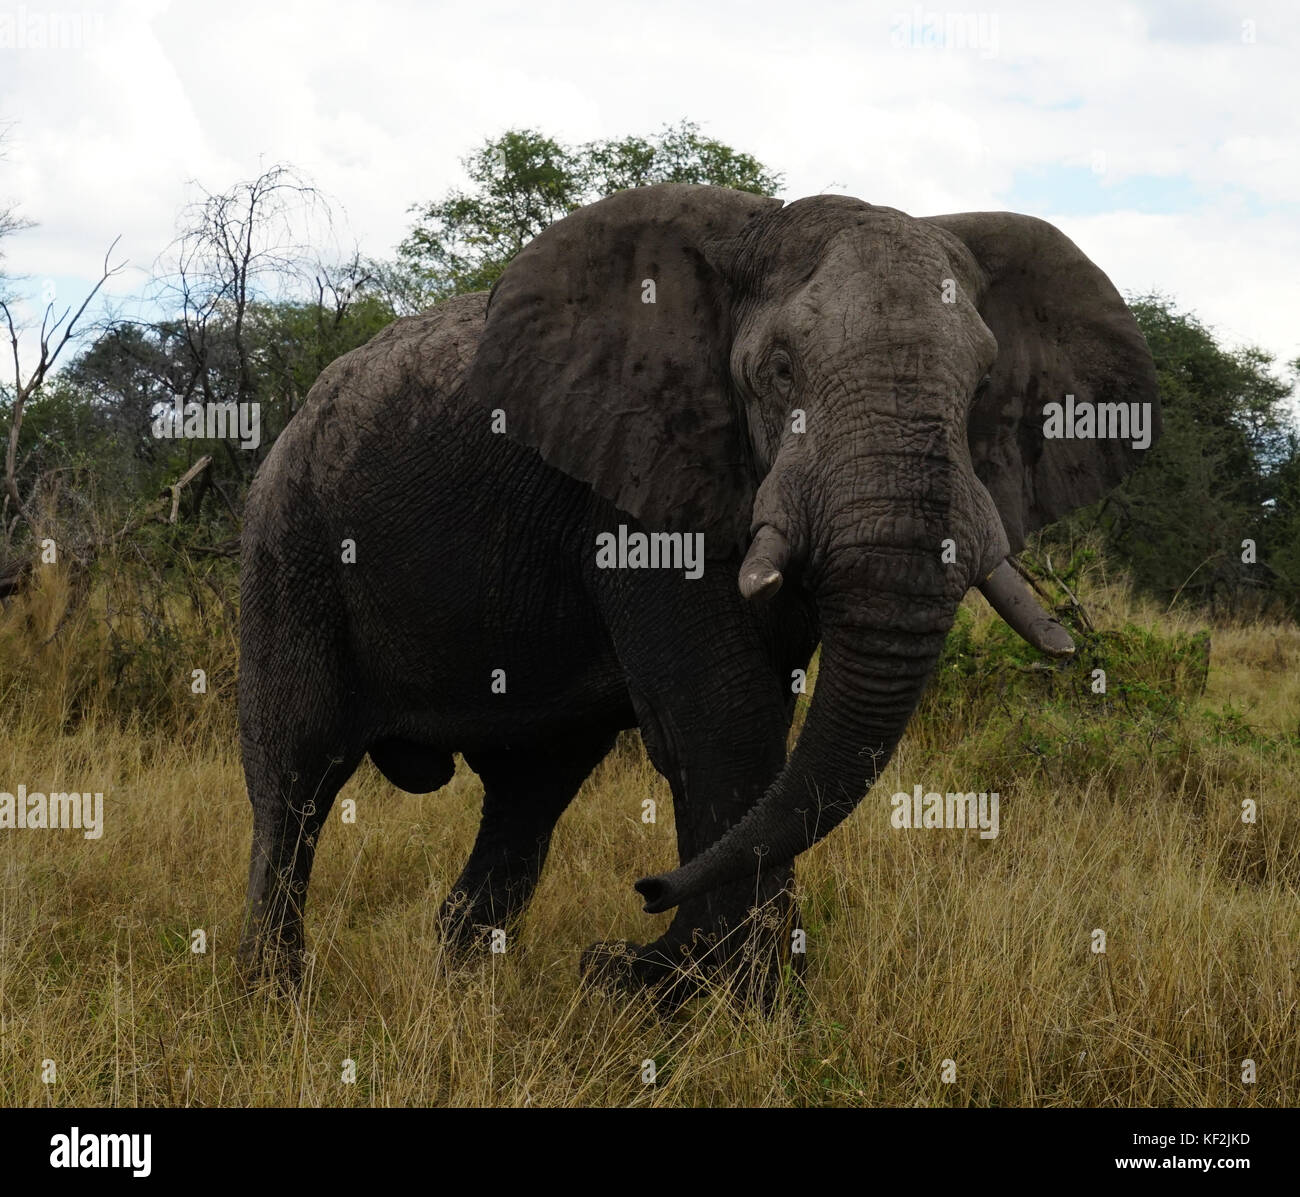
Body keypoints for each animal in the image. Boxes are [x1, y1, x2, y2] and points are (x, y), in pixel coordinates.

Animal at [236, 183, 1159, 1005]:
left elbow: (765, 721)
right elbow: (722, 716)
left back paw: (462, 988)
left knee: (530, 789)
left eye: (981, 387)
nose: (642, 904)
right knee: (296, 769)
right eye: (779, 372)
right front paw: (743, 1006)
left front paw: (723, 996)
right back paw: (276, 998)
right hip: (290, 538)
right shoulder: (633, 483)